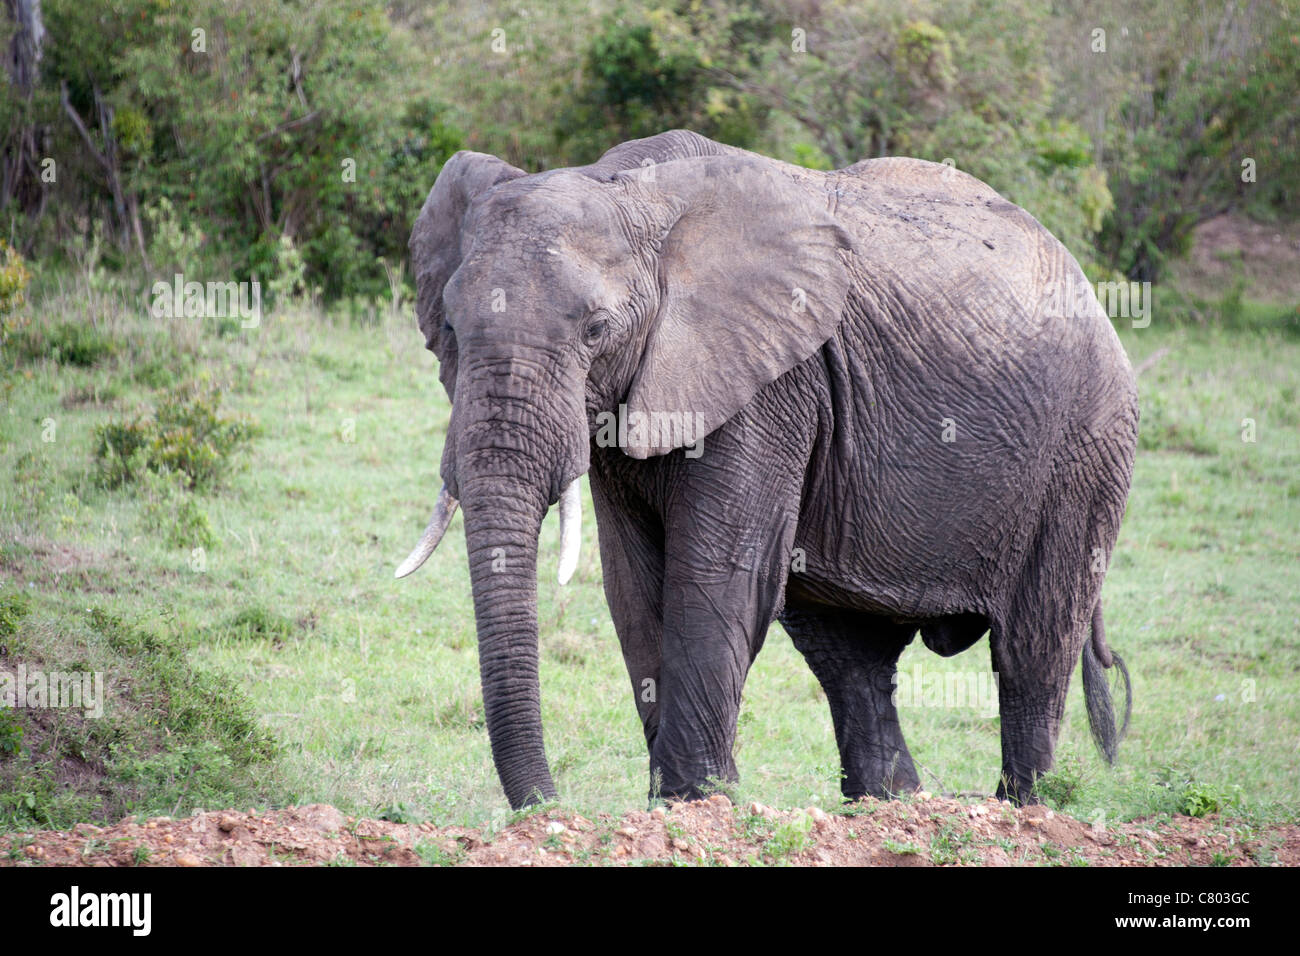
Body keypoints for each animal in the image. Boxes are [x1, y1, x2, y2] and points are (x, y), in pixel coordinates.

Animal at [396, 129, 1137, 811]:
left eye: (596, 331)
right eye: (450, 330)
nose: (548, 805)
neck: (631, 191)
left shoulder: (770, 384)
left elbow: (716, 575)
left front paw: (694, 805)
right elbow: (634, 585)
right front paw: (679, 804)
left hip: (1085, 451)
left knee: (1031, 650)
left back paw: (1026, 811)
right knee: (848, 655)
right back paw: (888, 808)